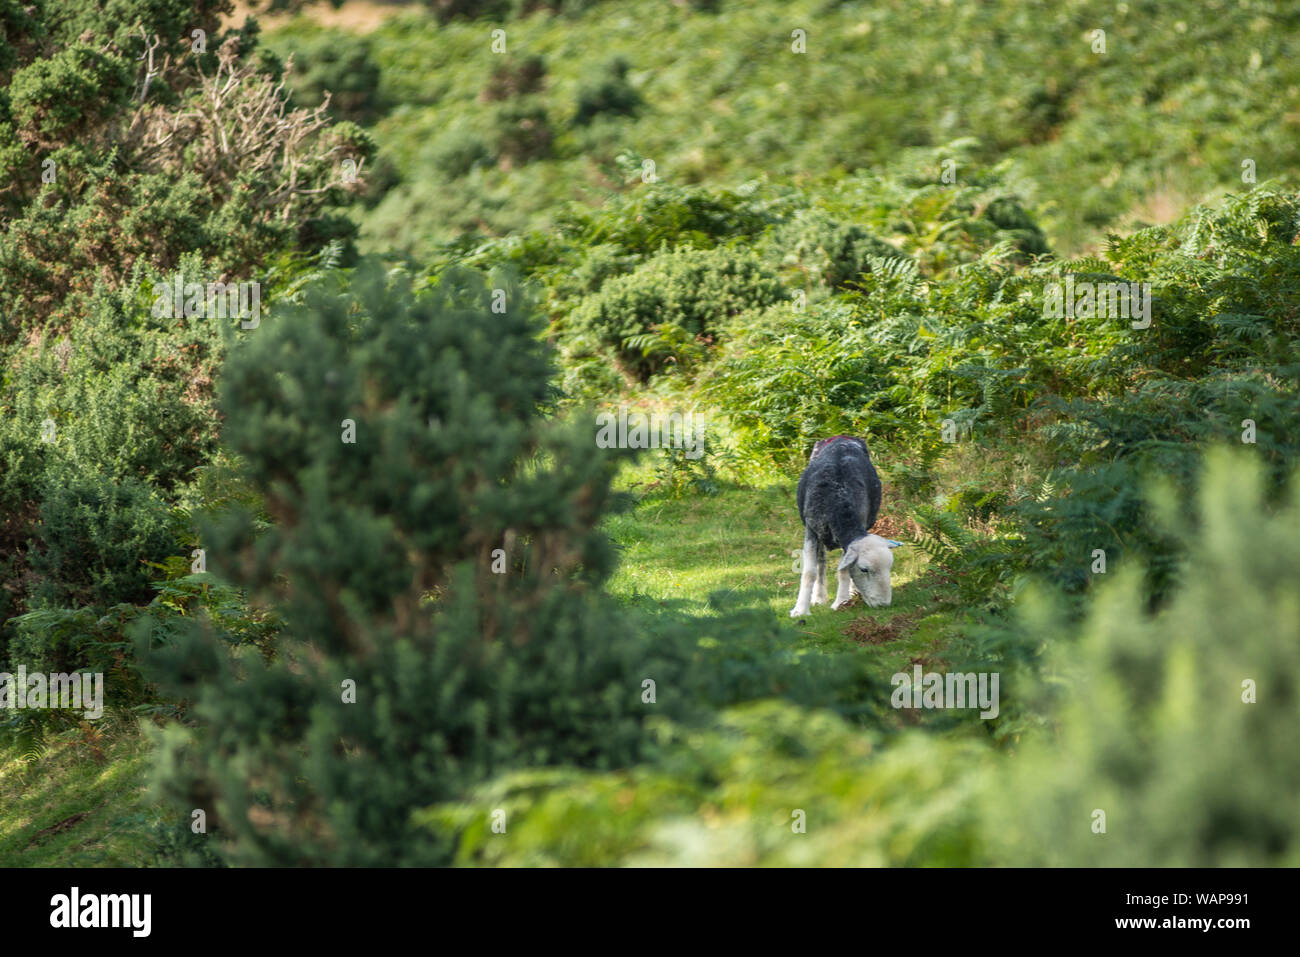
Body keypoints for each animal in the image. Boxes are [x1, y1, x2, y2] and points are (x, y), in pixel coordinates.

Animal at [789, 435, 901, 618]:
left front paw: (841, 602)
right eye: (864, 569)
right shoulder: (811, 529)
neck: (838, 499)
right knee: (821, 562)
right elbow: (809, 572)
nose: (884, 604)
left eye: (890, 567)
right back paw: (819, 597)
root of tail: (842, 436)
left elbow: (843, 571)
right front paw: (800, 610)